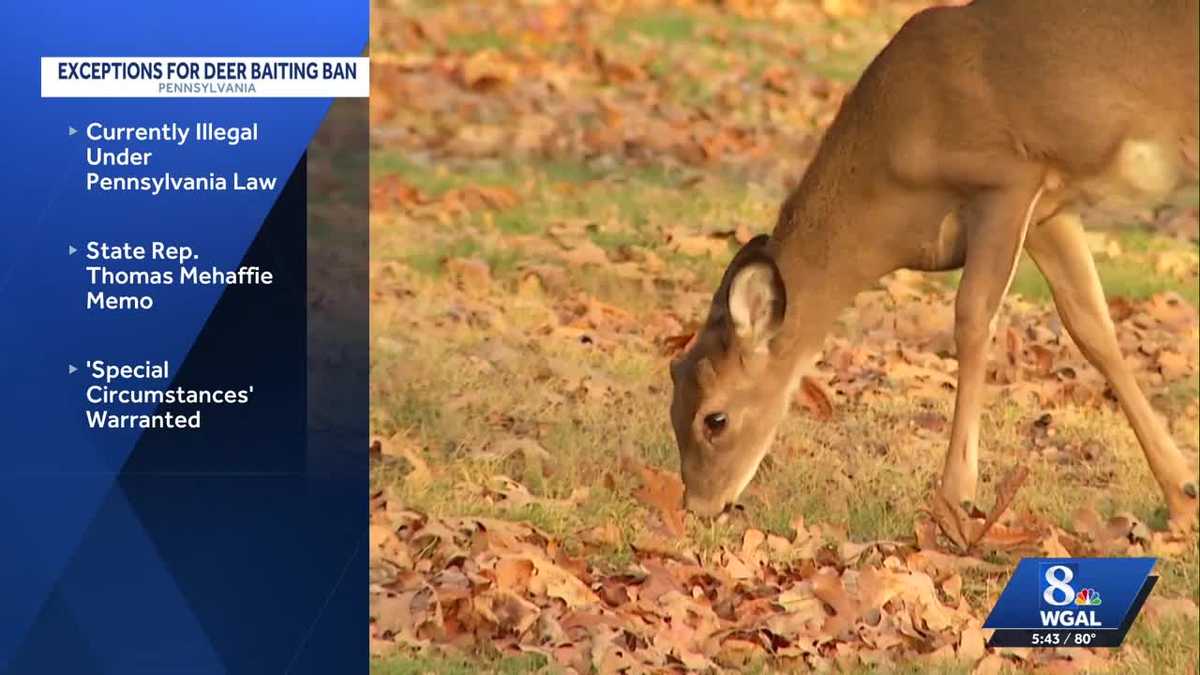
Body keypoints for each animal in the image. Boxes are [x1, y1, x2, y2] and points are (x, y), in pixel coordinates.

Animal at [668, 0, 1199, 538]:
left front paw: (955, 502)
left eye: (714, 419)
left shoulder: (1009, 178)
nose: (700, 505)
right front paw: (1182, 497)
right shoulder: (1050, 210)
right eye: (673, 391)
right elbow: (1091, 324)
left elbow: (971, 318)